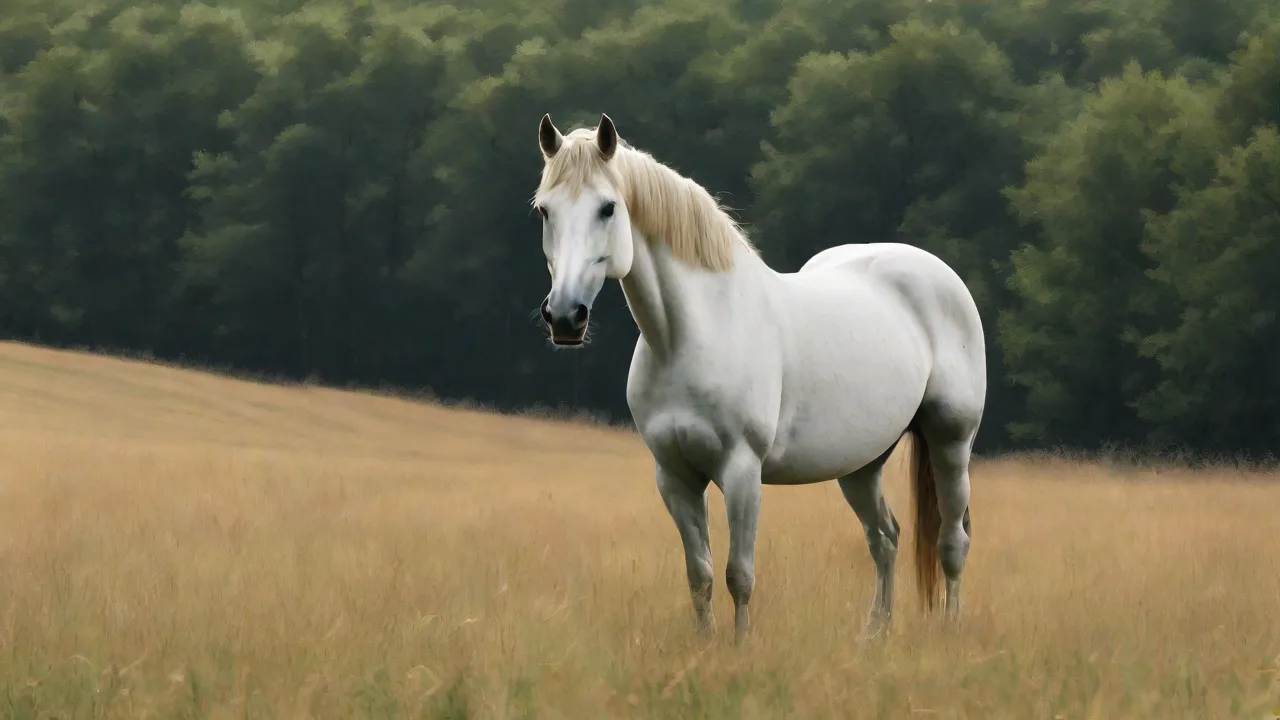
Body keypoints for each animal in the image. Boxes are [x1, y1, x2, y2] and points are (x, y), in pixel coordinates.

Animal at [531, 113, 985, 644]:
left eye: (608, 208)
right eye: (545, 211)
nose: (565, 317)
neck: (695, 333)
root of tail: (939, 275)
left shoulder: (742, 470)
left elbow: (739, 575)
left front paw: (740, 648)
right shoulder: (675, 476)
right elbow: (700, 574)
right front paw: (705, 646)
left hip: (950, 441)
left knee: (952, 542)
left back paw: (950, 629)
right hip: (861, 464)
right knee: (885, 539)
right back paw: (875, 634)